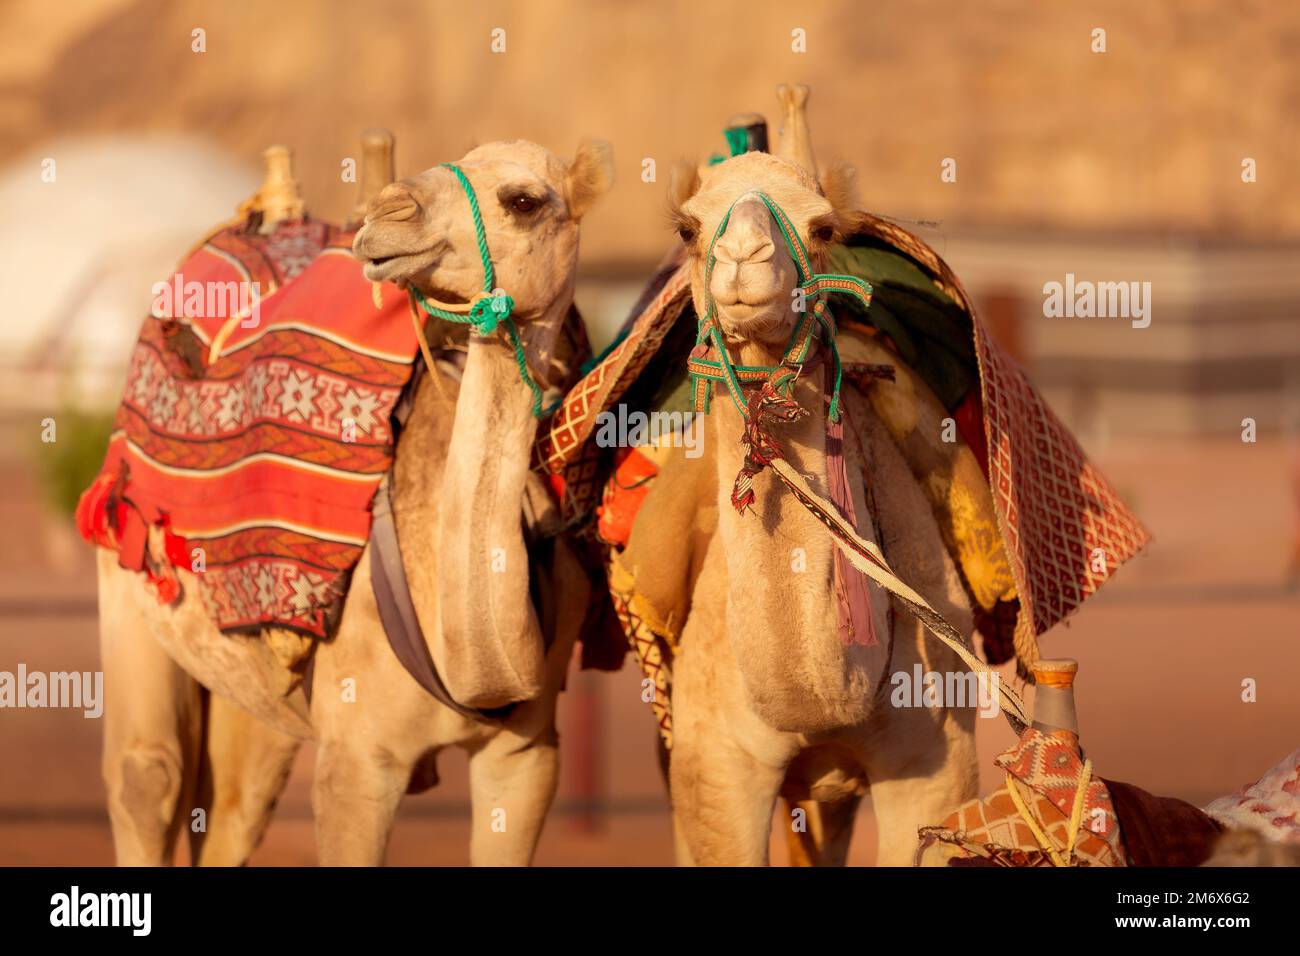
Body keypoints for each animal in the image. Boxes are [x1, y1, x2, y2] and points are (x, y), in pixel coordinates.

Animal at [96, 137, 614, 865]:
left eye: (522, 199)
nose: (389, 213)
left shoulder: (528, 753)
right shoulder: (359, 759)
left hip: (260, 700)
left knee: (235, 807)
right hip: (128, 572)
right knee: (149, 778)